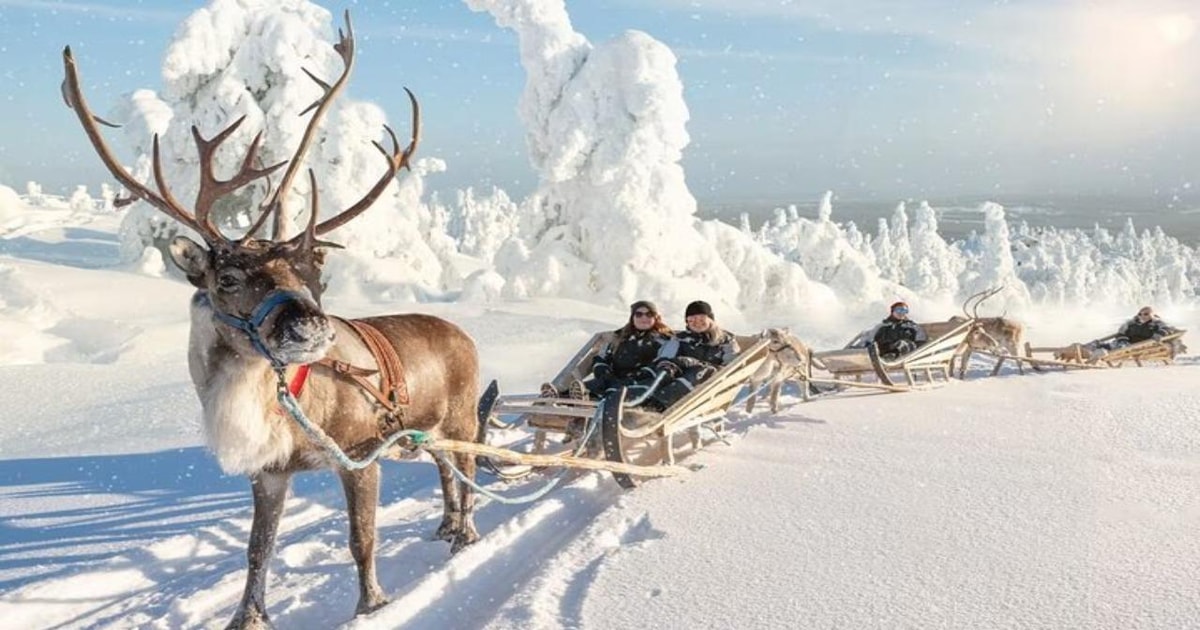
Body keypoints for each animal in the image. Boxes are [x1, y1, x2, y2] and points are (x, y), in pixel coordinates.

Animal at [62, 13, 482, 629]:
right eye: (228, 277)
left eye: (311, 270)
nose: (310, 328)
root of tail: (461, 333)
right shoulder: (269, 472)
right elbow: (257, 549)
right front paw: (247, 616)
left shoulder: (359, 456)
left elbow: (362, 539)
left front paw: (371, 606)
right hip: (426, 431)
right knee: (445, 470)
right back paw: (447, 526)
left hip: (463, 418)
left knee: (468, 470)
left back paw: (467, 534)